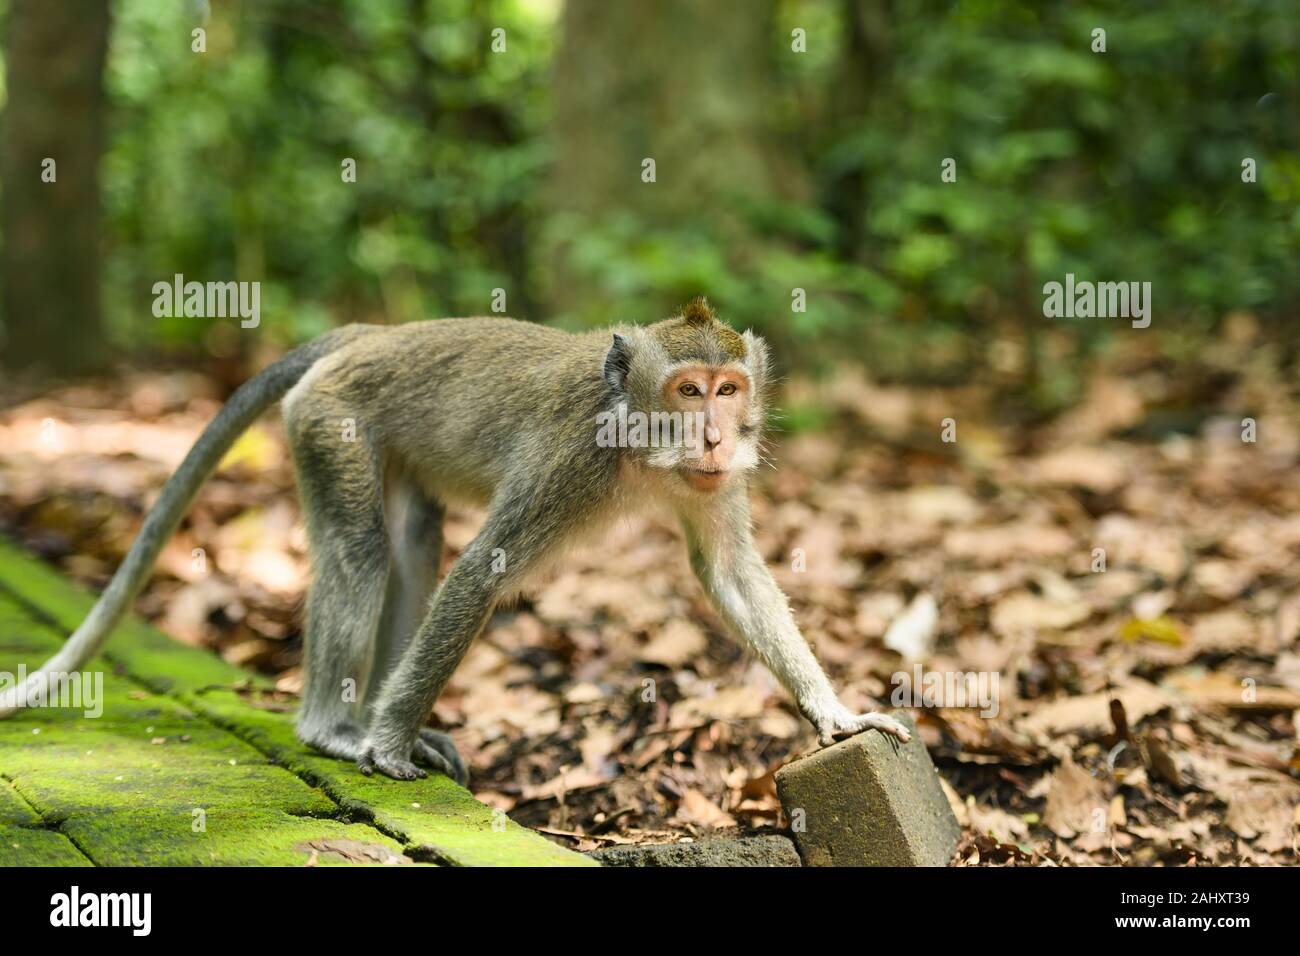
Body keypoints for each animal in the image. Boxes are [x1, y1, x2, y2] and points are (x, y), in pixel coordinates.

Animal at [0, 299, 910, 781]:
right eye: (689, 391)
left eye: (730, 390)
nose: (718, 437)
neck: (635, 438)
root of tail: (369, 332)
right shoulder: (568, 463)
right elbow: (480, 574)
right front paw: (388, 741)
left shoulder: (711, 485)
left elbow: (727, 572)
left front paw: (836, 713)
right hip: (329, 421)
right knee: (363, 552)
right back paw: (337, 727)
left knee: (411, 545)